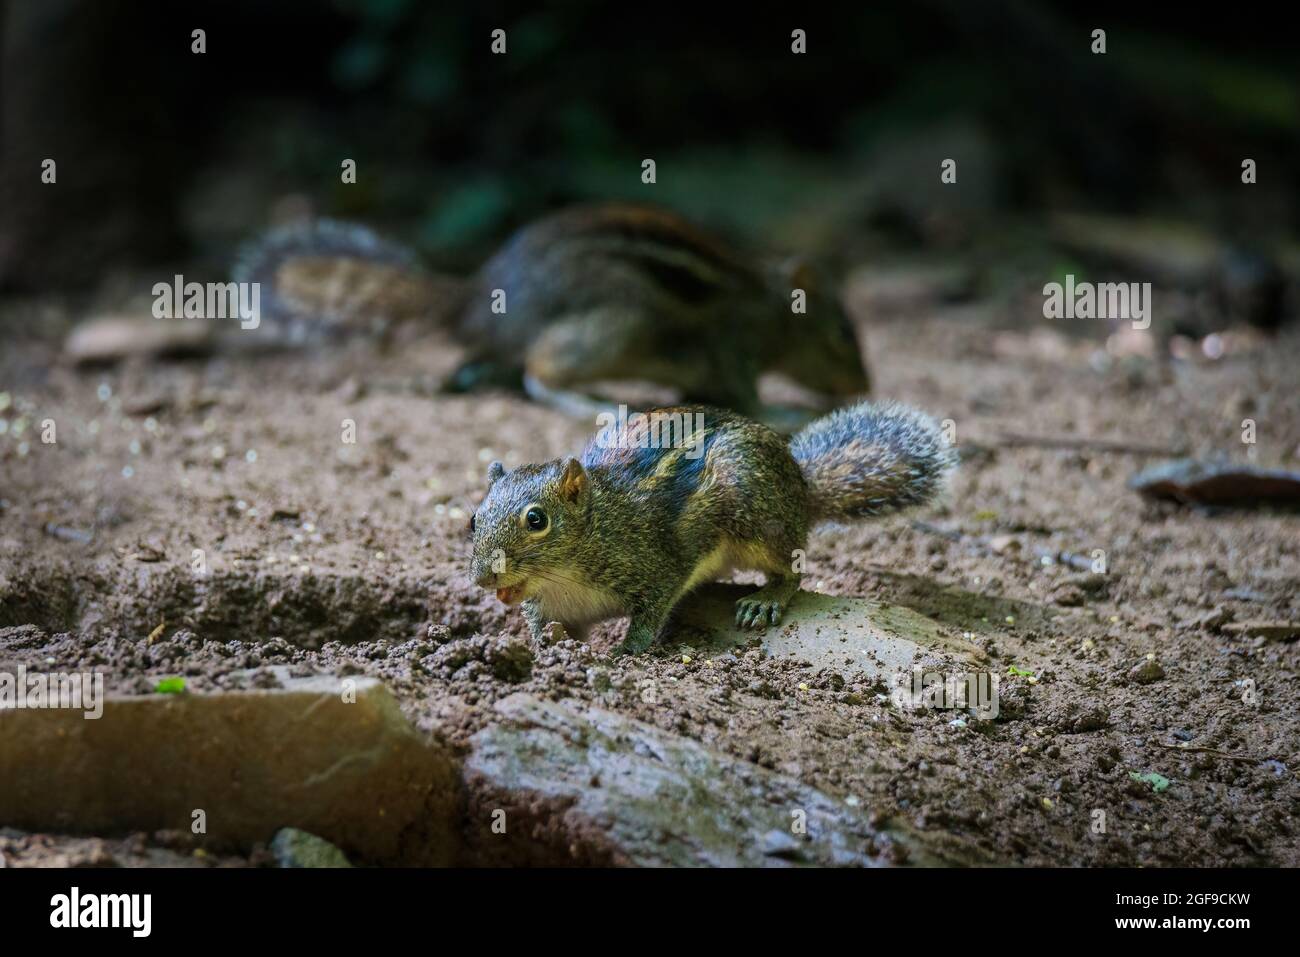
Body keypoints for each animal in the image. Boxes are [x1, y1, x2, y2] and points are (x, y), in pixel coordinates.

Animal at [233, 204, 870, 418]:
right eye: (843, 331)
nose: (864, 385)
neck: (770, 308)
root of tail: (473, 299)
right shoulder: (732, 349)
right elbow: (749, 399)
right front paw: (787, 412)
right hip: (612, 327)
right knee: (539, 375)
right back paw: (594, 403)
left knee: (479, 369)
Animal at [469, 399, 956, 654]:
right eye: (474, 518)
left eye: (537, 520)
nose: (483, 578)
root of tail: (801, 486)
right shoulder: (550, 606)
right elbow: (546, 629)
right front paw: (547, 647)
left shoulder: (655, 565)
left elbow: (650, 613)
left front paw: (628, 649)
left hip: (759, 520)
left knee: (792, 570)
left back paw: (765, 599)